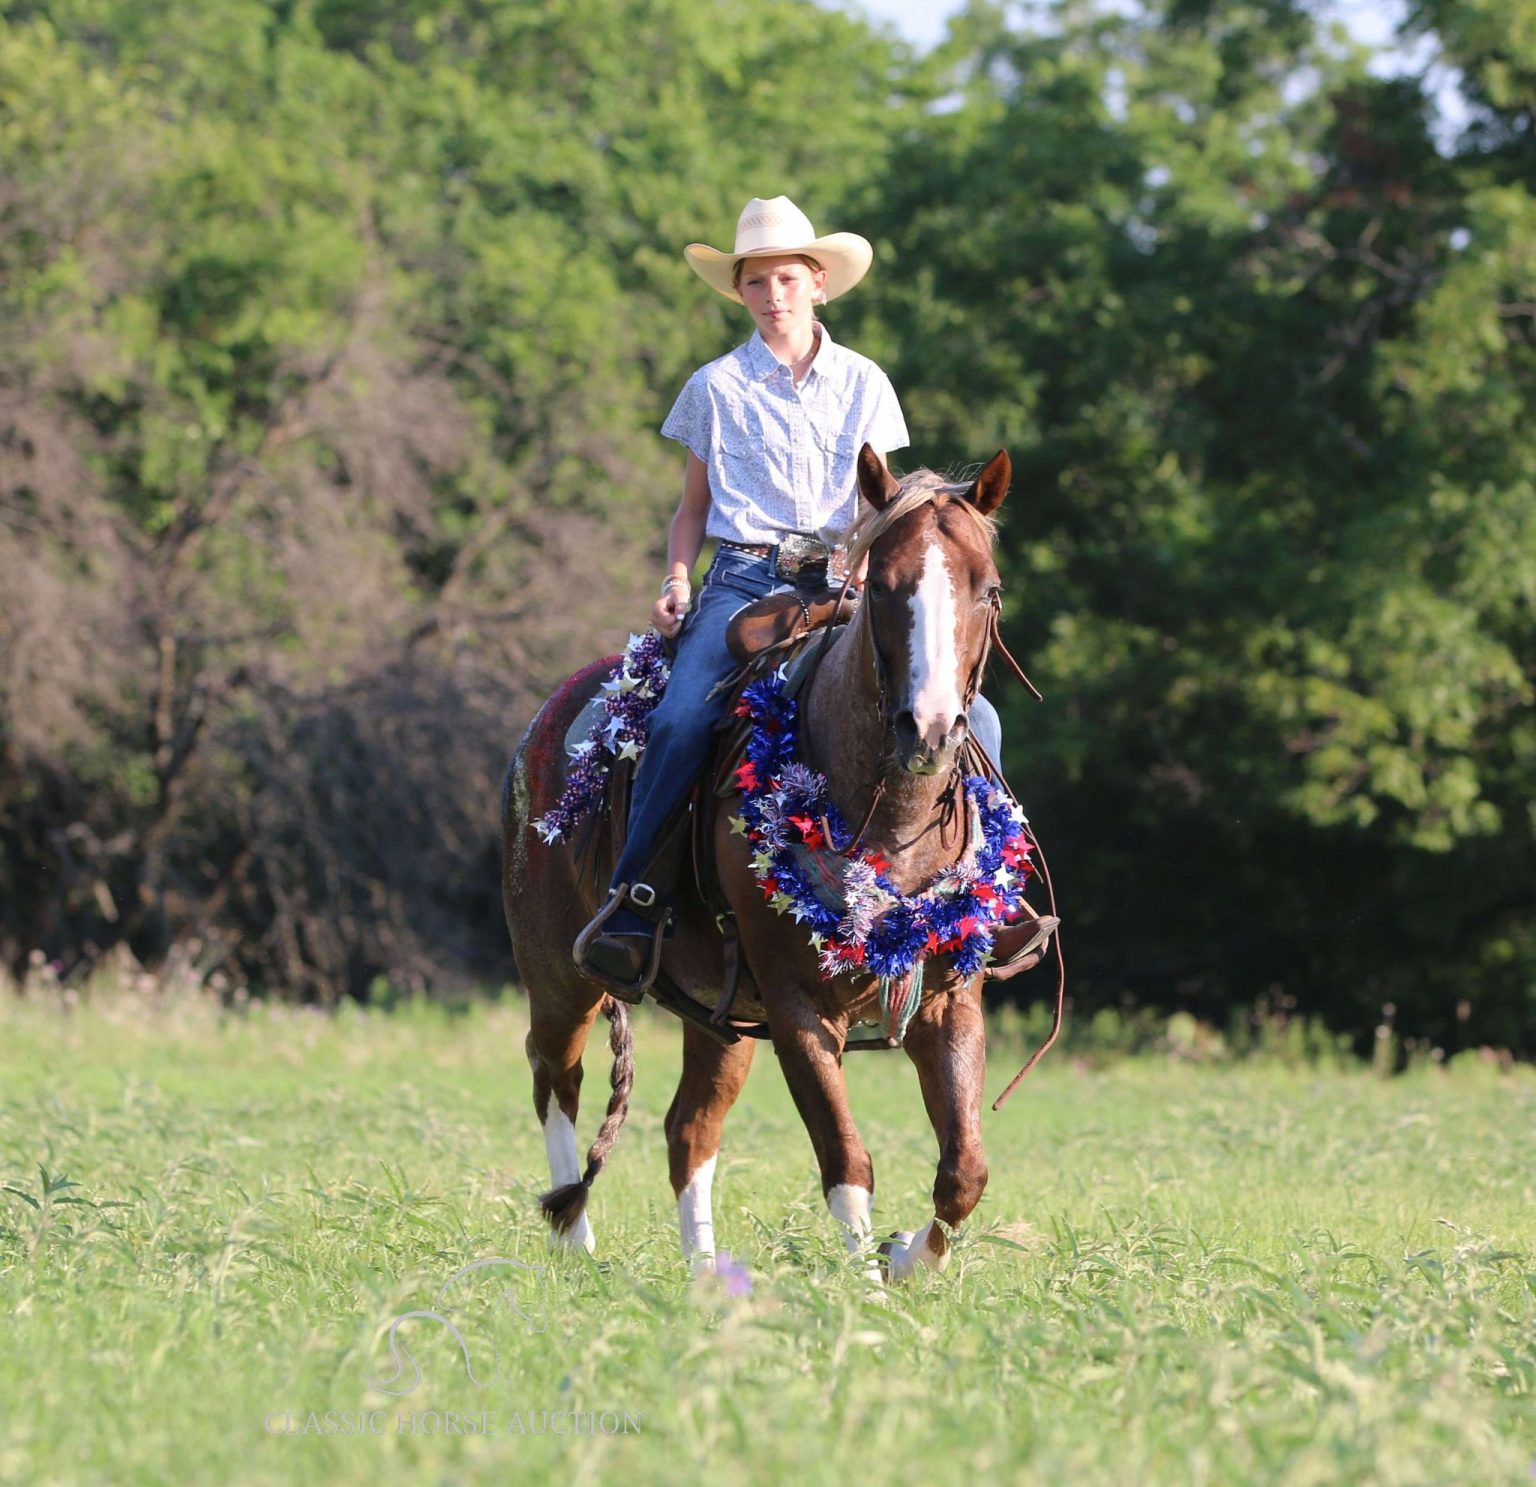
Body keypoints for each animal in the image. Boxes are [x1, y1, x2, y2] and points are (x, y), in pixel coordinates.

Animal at [502, 446, 1020, 1281]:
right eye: (883, 584)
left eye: (989, 588)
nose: (930, 730)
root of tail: (548, 724)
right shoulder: (797, 1008)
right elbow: (846, 1163)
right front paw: (868, 1287)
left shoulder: (947, 1001)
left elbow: (963, 1171)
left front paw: (903, 1256)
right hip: (558, 975)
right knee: (557, 1078)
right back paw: (574, 1238)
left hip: (719, 1015)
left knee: (688, 1127)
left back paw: (705, 1273)